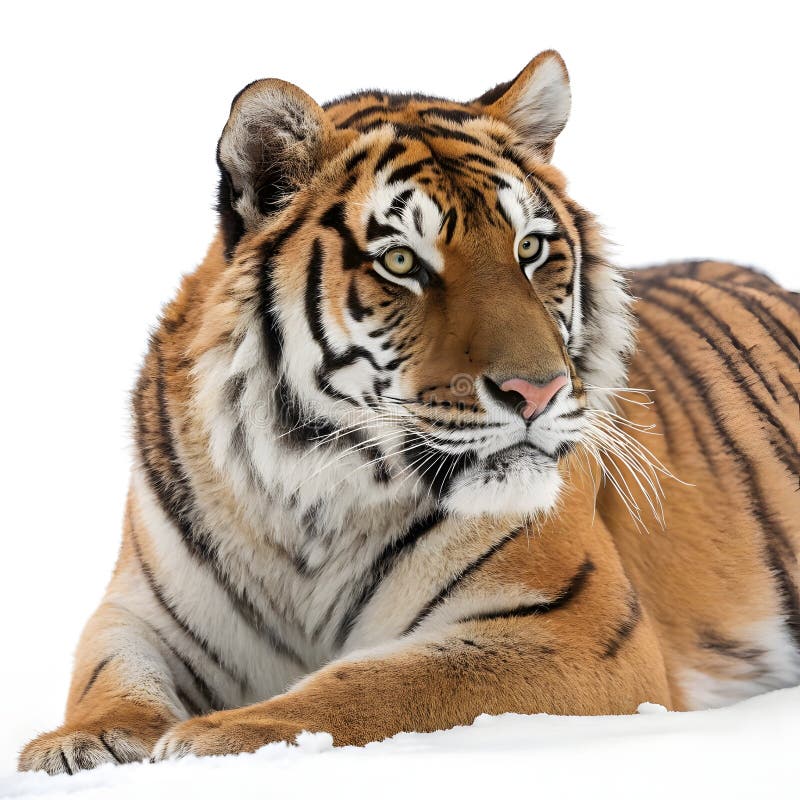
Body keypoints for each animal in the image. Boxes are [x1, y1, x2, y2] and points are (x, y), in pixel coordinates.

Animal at [19, 50, 800, 775]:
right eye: (400, 262)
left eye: (530, 248)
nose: (538, 392)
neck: (312, 484)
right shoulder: (139, 611)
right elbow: (108, 674)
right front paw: (78, 744)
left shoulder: (577, 628)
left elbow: (383, 682)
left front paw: (225, 735)